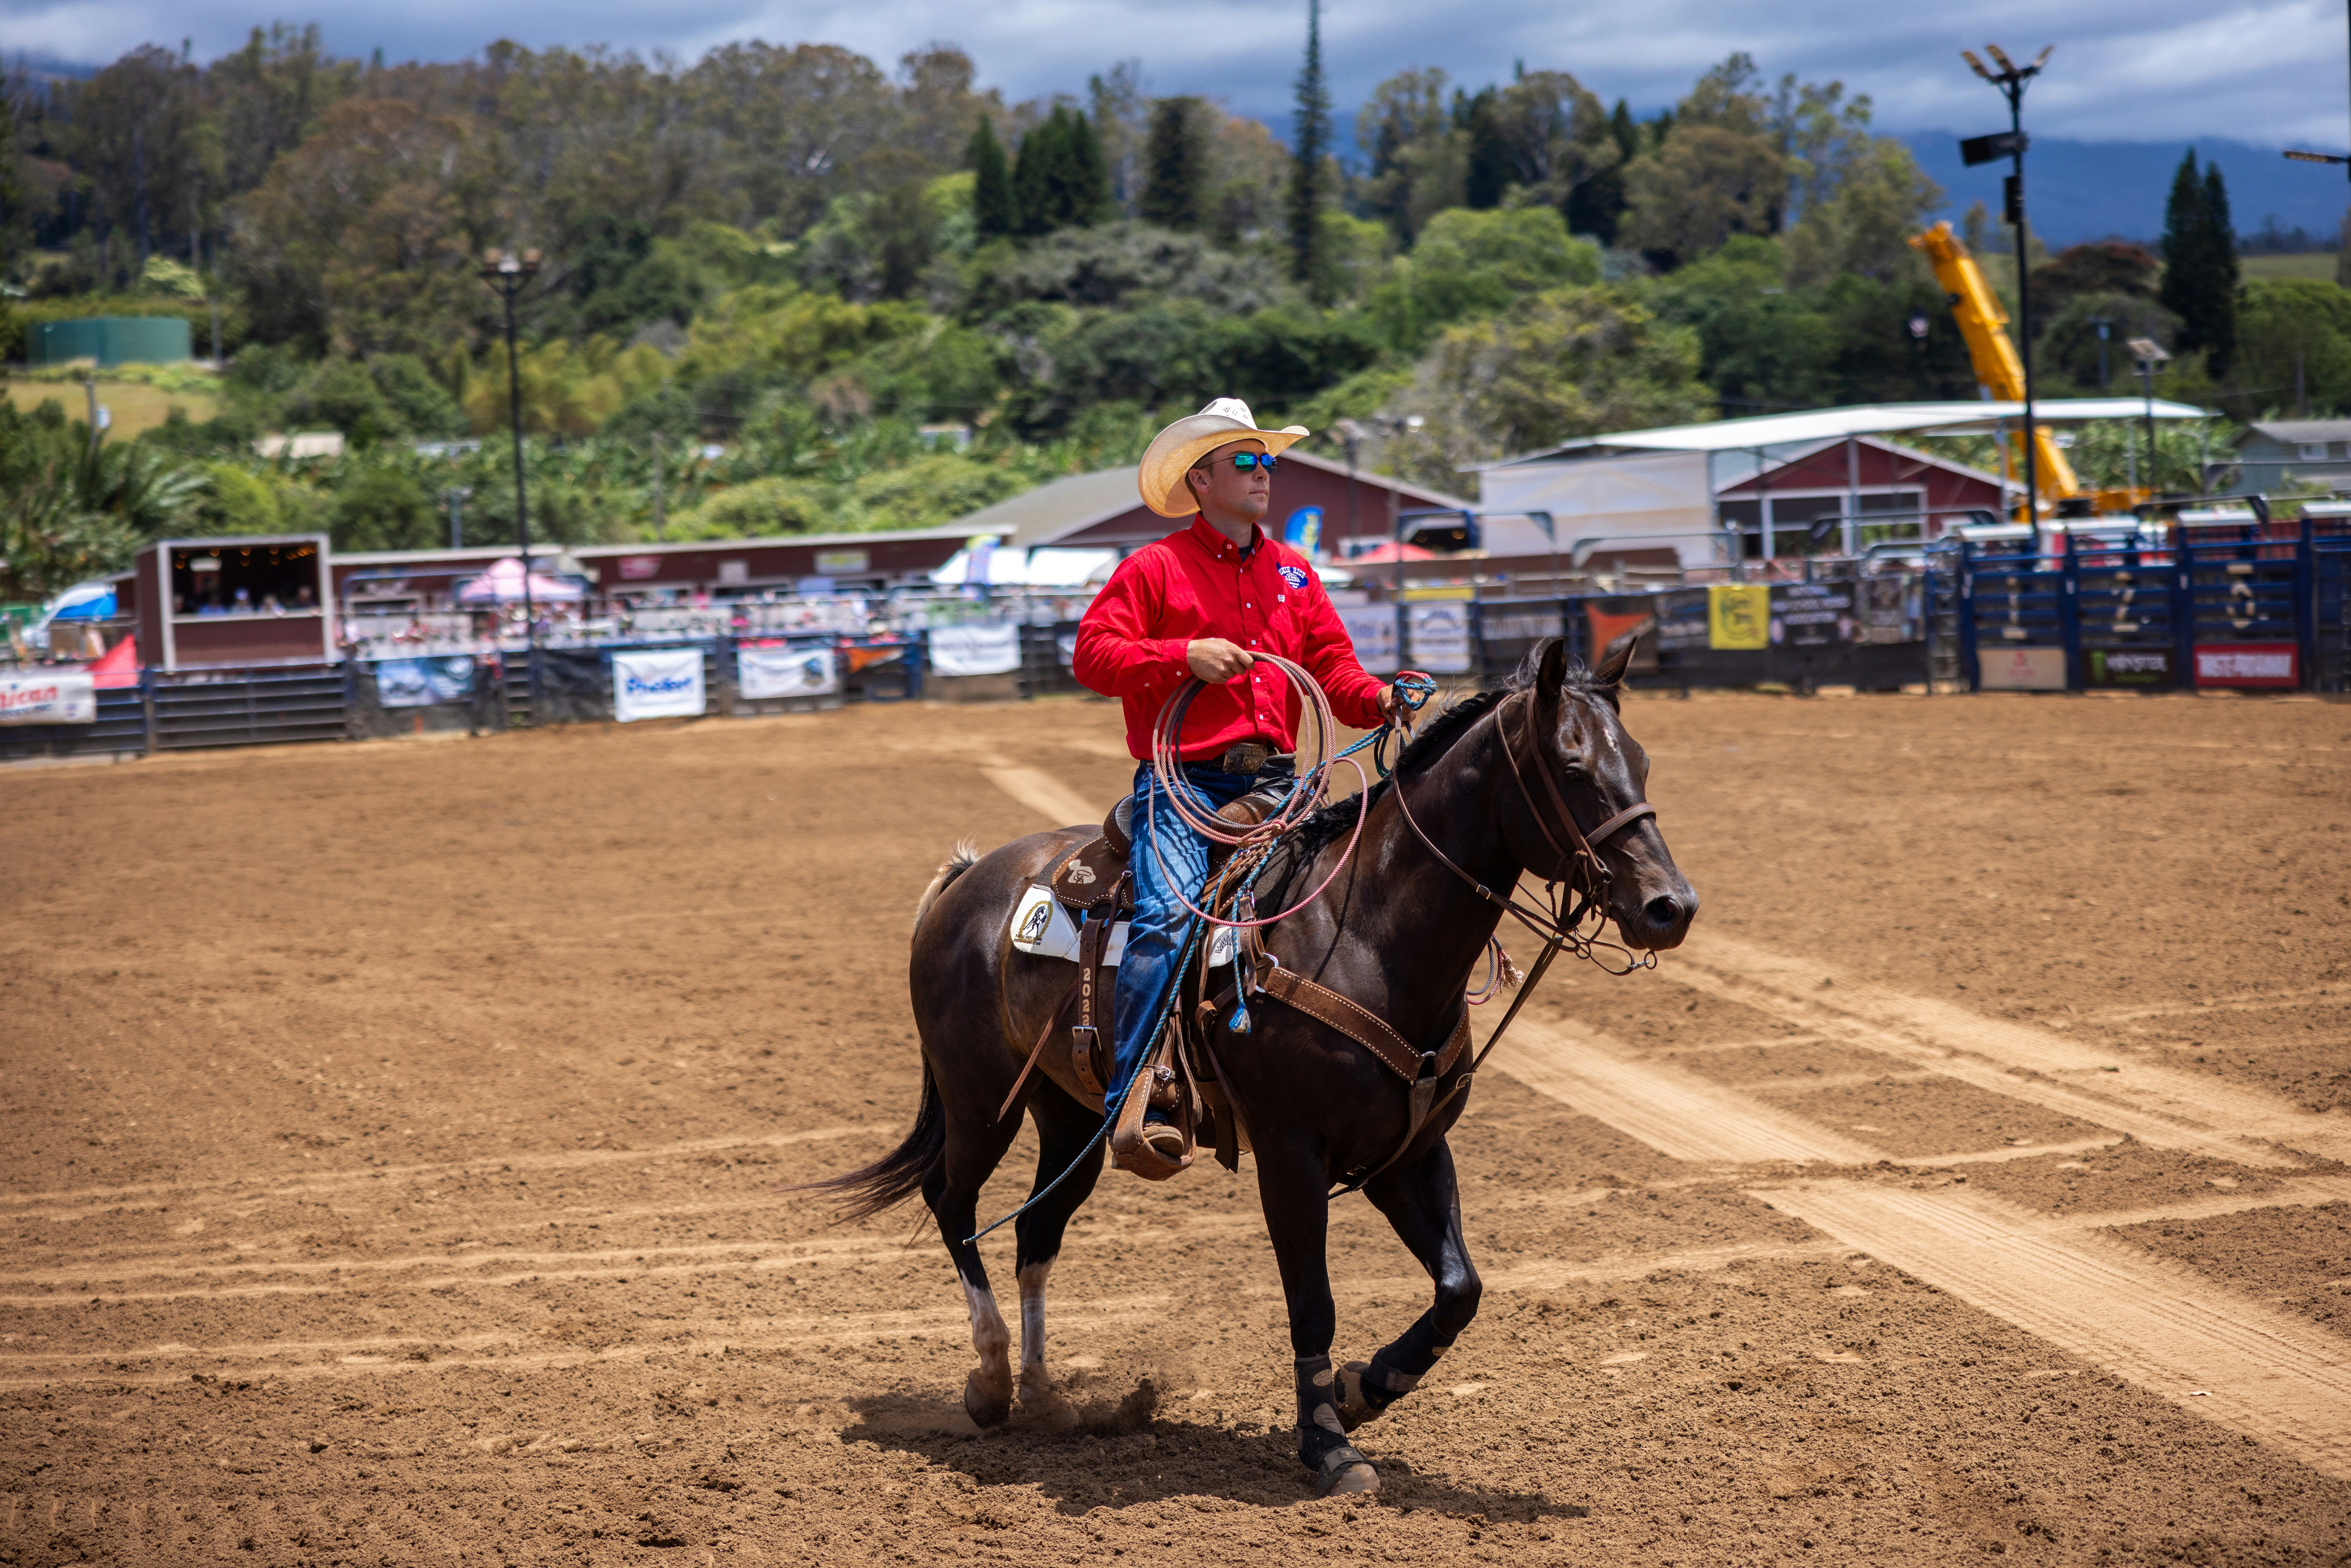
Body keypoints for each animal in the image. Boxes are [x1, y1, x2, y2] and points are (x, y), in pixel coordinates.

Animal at [811, 634, 1697, 1495]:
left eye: (1645, 761)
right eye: (1574, 767)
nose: (1671, 907)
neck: (1365, 930)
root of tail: (968, 881)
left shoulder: (1408, 1151)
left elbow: (1459, 1288)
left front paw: (1365, 1388)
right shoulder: (1291, 1155)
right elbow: (1313, 1303)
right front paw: (1329, 1445)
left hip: (1071, 1120)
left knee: (1035, 1227)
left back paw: (1044, 1395)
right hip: (979, 1100)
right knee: (953, 1205)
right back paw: (993, 1380)